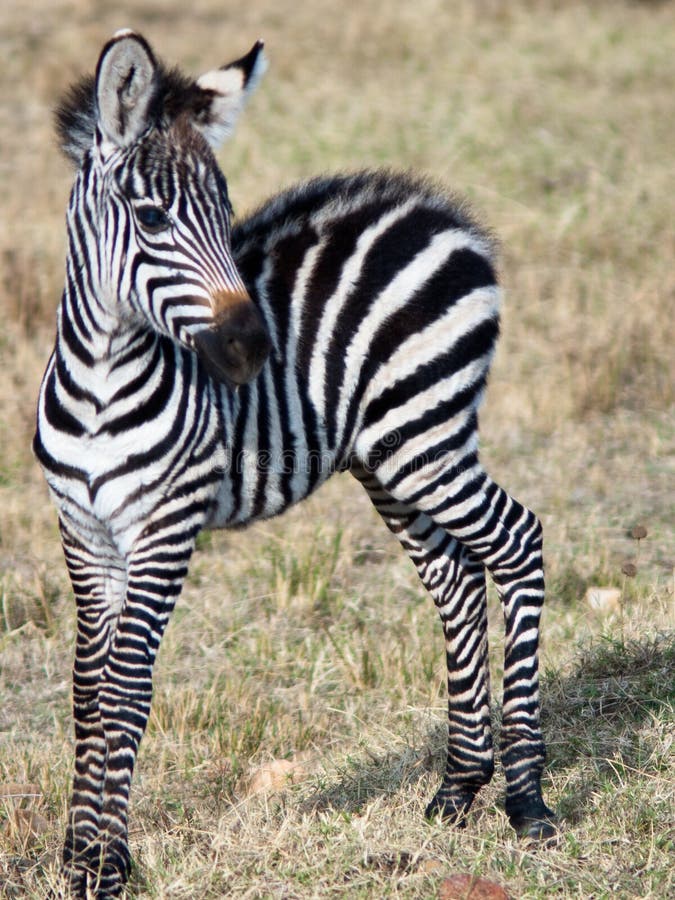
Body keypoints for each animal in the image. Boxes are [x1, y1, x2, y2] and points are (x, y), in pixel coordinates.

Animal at [35, 30, 556, 899]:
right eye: (151, 217)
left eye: (226, 215)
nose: (253, 348)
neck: (103, 384)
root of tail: (444, 215)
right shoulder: (84, 533)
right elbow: (88, 691)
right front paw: (77, 857)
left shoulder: (166, 527)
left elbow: (128, 687)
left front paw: (108, 865)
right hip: (390, 458)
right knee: (453, 578)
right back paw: (457, 789)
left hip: (427, 435)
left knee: (518, 542)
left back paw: (526, 799)